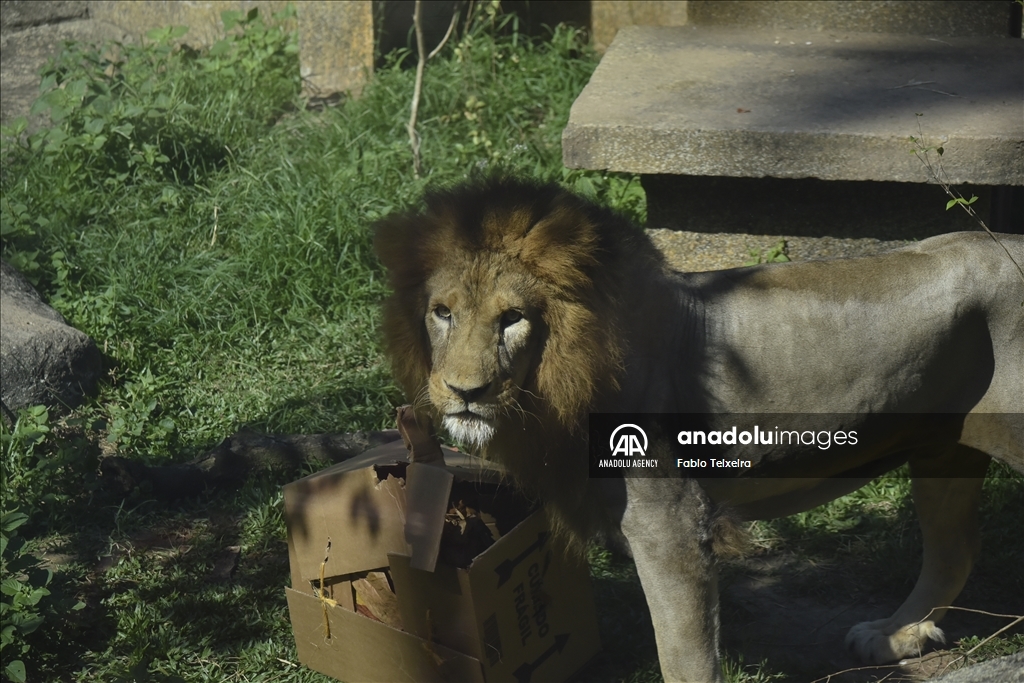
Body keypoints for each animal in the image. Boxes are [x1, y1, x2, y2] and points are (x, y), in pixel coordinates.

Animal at [373, 176, 1024, 683]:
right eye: (442, 313)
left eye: (512, 318)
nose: (465, 392)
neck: (560, 383)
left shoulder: (672, 527)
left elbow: (684, 657)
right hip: (944, 450)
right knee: (955, 548)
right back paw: (897, 634)